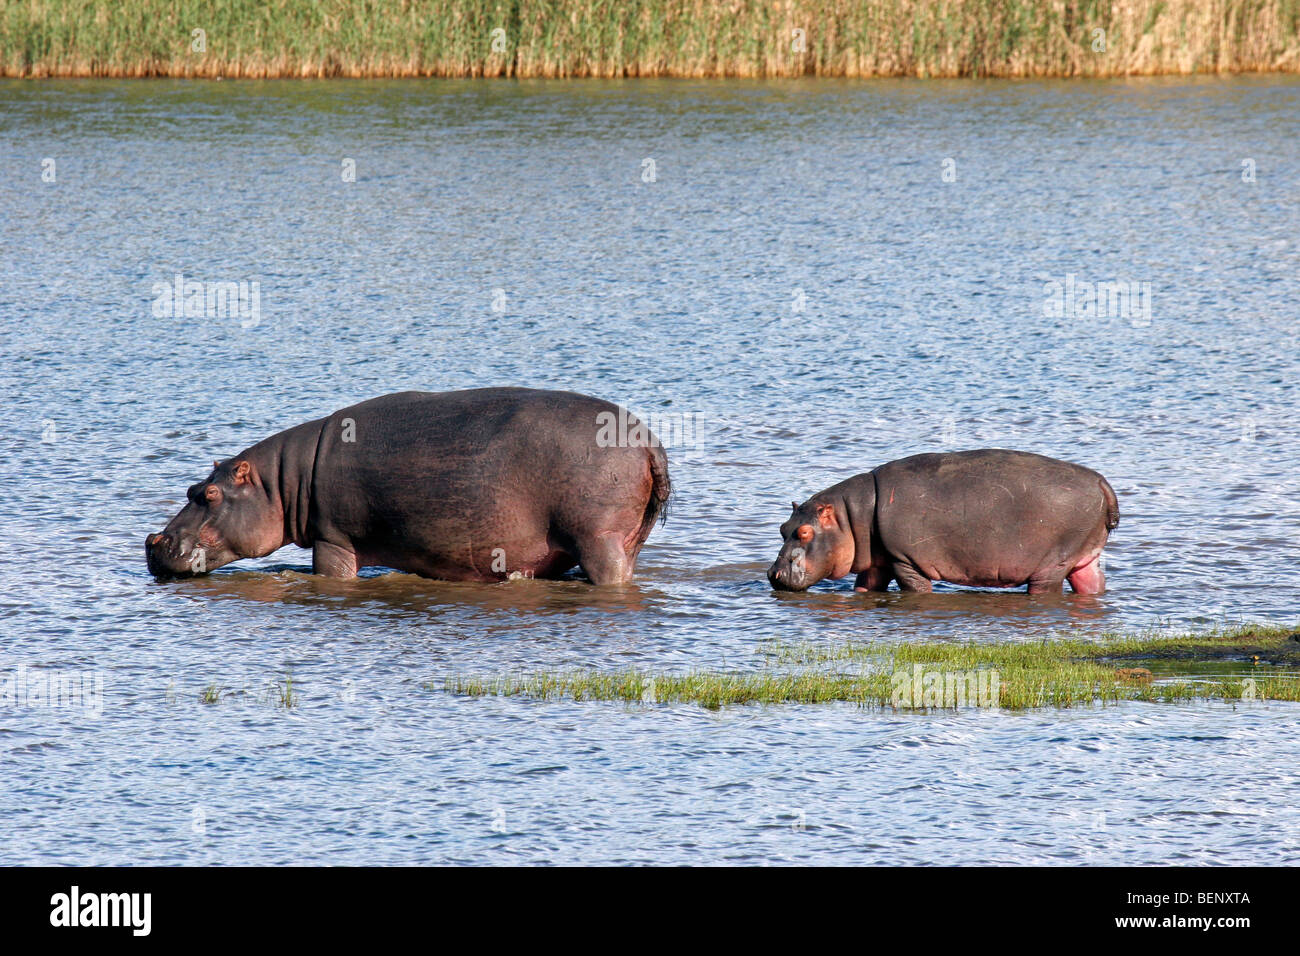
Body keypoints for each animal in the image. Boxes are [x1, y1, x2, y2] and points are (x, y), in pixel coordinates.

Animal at [146, 388, 670, 585]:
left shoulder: (333, 538)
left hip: (598, 539)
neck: (281, 484)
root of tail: (650, 443)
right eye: (191, 487)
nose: (153, 542)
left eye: (209, 495)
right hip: (626, 539)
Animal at [768, 450, 1119, 595]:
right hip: (1084, 557)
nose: (772, 574)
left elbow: (915, 588)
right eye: (782, 528)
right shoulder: (878, 562)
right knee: (1091, 583)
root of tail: (1102, 482)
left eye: (804, 532)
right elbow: (866, 586)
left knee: (1045, 588)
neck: (850, 517)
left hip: (1051, 564)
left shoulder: (905, 560)